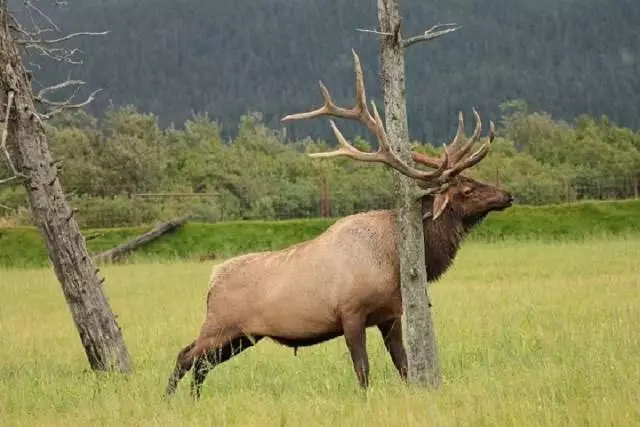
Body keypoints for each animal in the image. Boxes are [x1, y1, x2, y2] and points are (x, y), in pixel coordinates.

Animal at [166, 51, 516, 400]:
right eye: (466, 189)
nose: (507, 195)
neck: (393, 260)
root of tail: (211, 282)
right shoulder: (351, 312)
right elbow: (363, 369)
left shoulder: (390, 314)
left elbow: (403, 365)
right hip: (220, 325)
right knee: (186, 355)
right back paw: (169, 400)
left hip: (244, 336)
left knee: (202, 365)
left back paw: (193, 399)